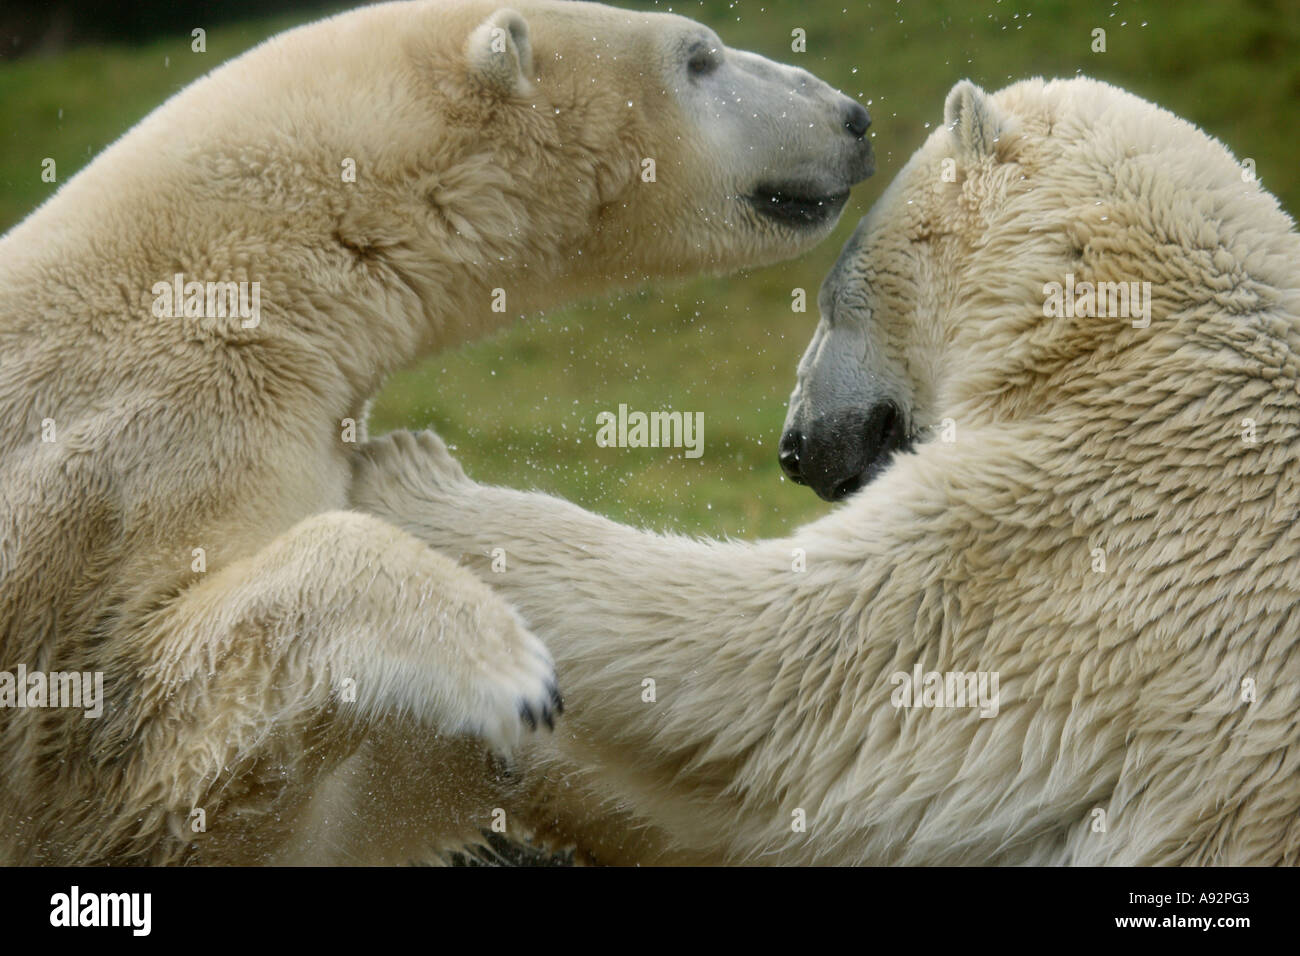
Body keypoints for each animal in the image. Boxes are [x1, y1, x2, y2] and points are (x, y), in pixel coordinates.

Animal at [0, 0, 873, 864]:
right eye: (700, 57)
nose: (854, 118)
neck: (241, 274)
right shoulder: (143, 452)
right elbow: (136, 736)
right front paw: (509, 670)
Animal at [351, 76, 1300, 865]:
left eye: (836, 296)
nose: (795, 446)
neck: (1121, 340)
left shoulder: (1081, 539)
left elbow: (785, 682)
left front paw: (408, 479)